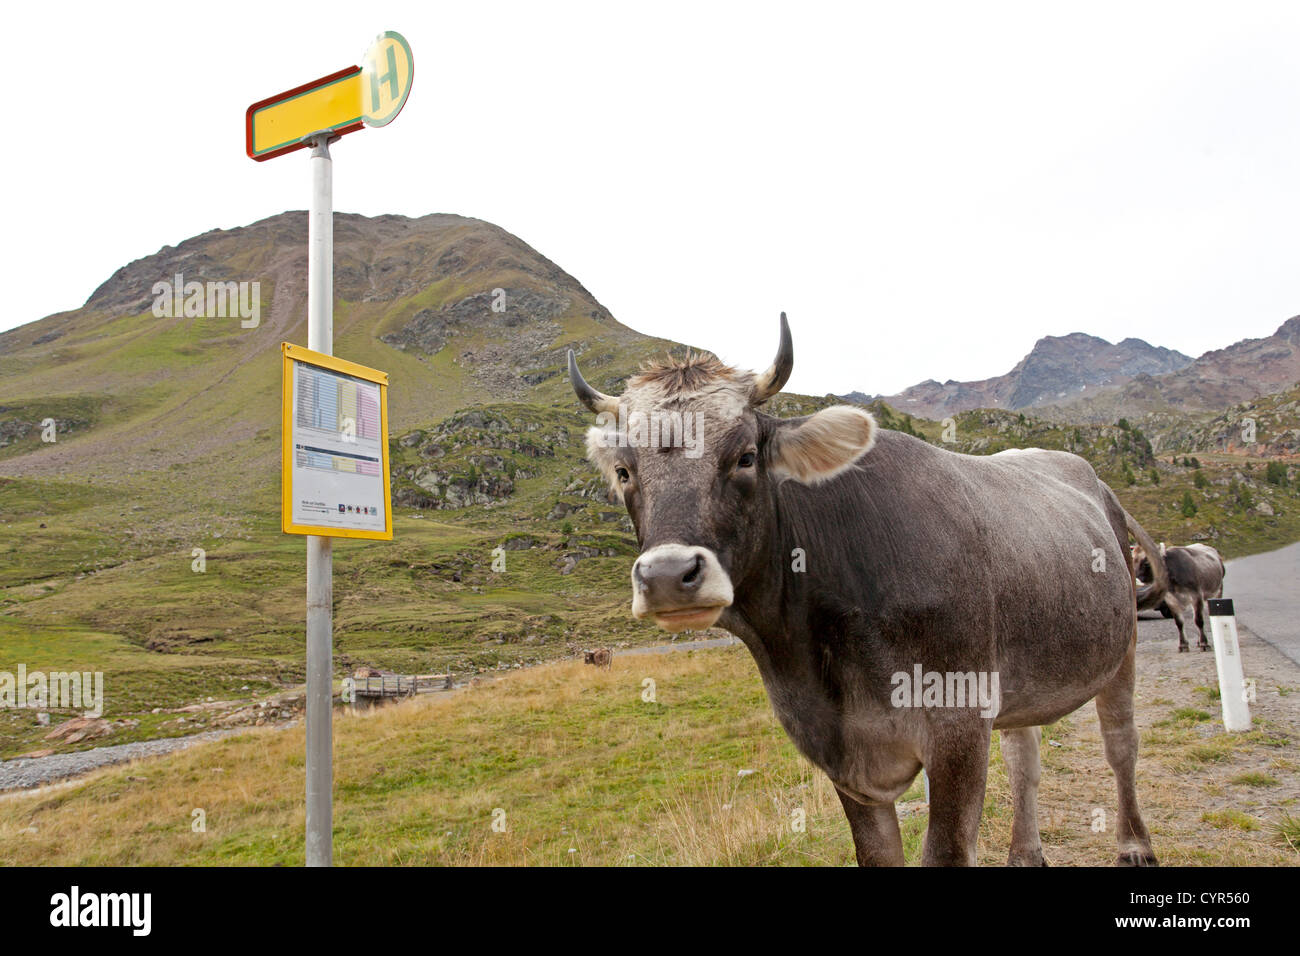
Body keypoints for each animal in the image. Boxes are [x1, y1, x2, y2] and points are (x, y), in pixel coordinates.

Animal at [568, 314, 1163, 866]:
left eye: (745, 457)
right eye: (624, 471)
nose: (669, 576)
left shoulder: (959, 726)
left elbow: (946, 851)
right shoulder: (842, 755)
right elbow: (876, 852)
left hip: (1122, 649)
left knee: (1120, 744)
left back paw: (1134, 843)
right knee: (1025, 756)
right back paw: (1025, 852)